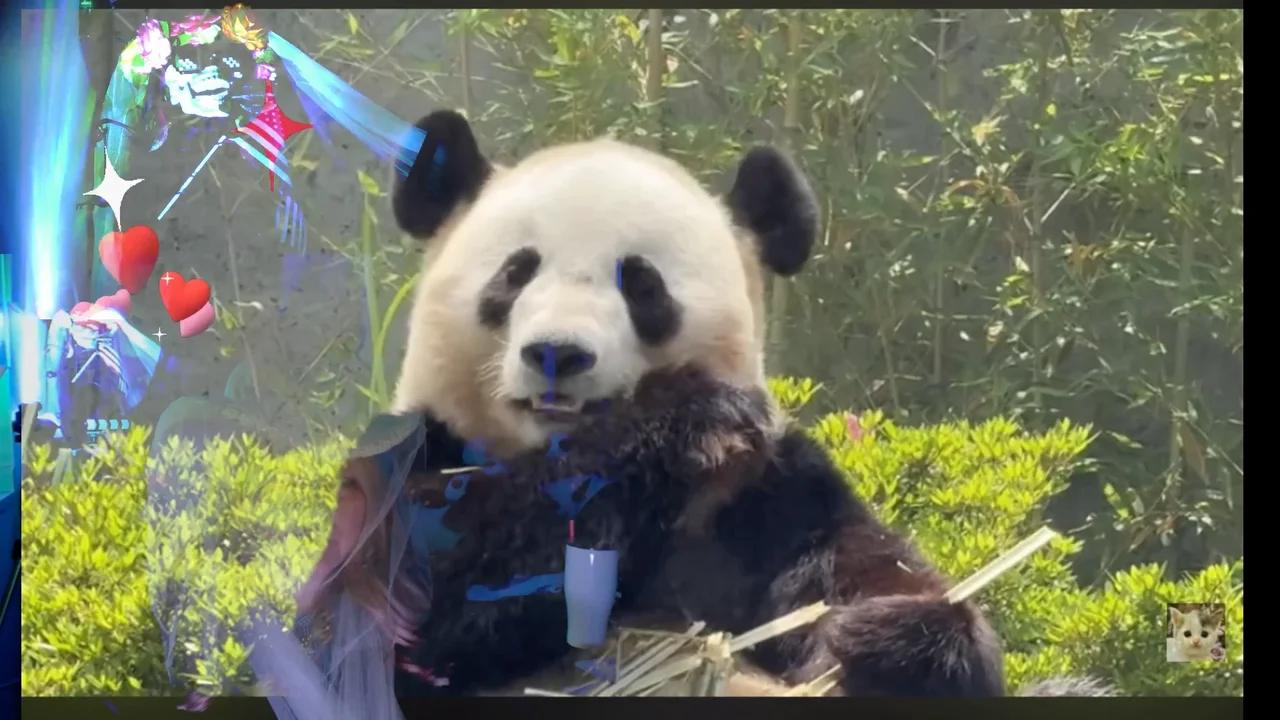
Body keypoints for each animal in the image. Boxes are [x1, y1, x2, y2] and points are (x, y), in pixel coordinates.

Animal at [296, 109, 1113, 700]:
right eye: (515, 273)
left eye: (640, 283)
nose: (558, 353)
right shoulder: (405, 463)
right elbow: (395, 624)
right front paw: (686, 418)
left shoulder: (769, 496)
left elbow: (861, 569)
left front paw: (897, 641)